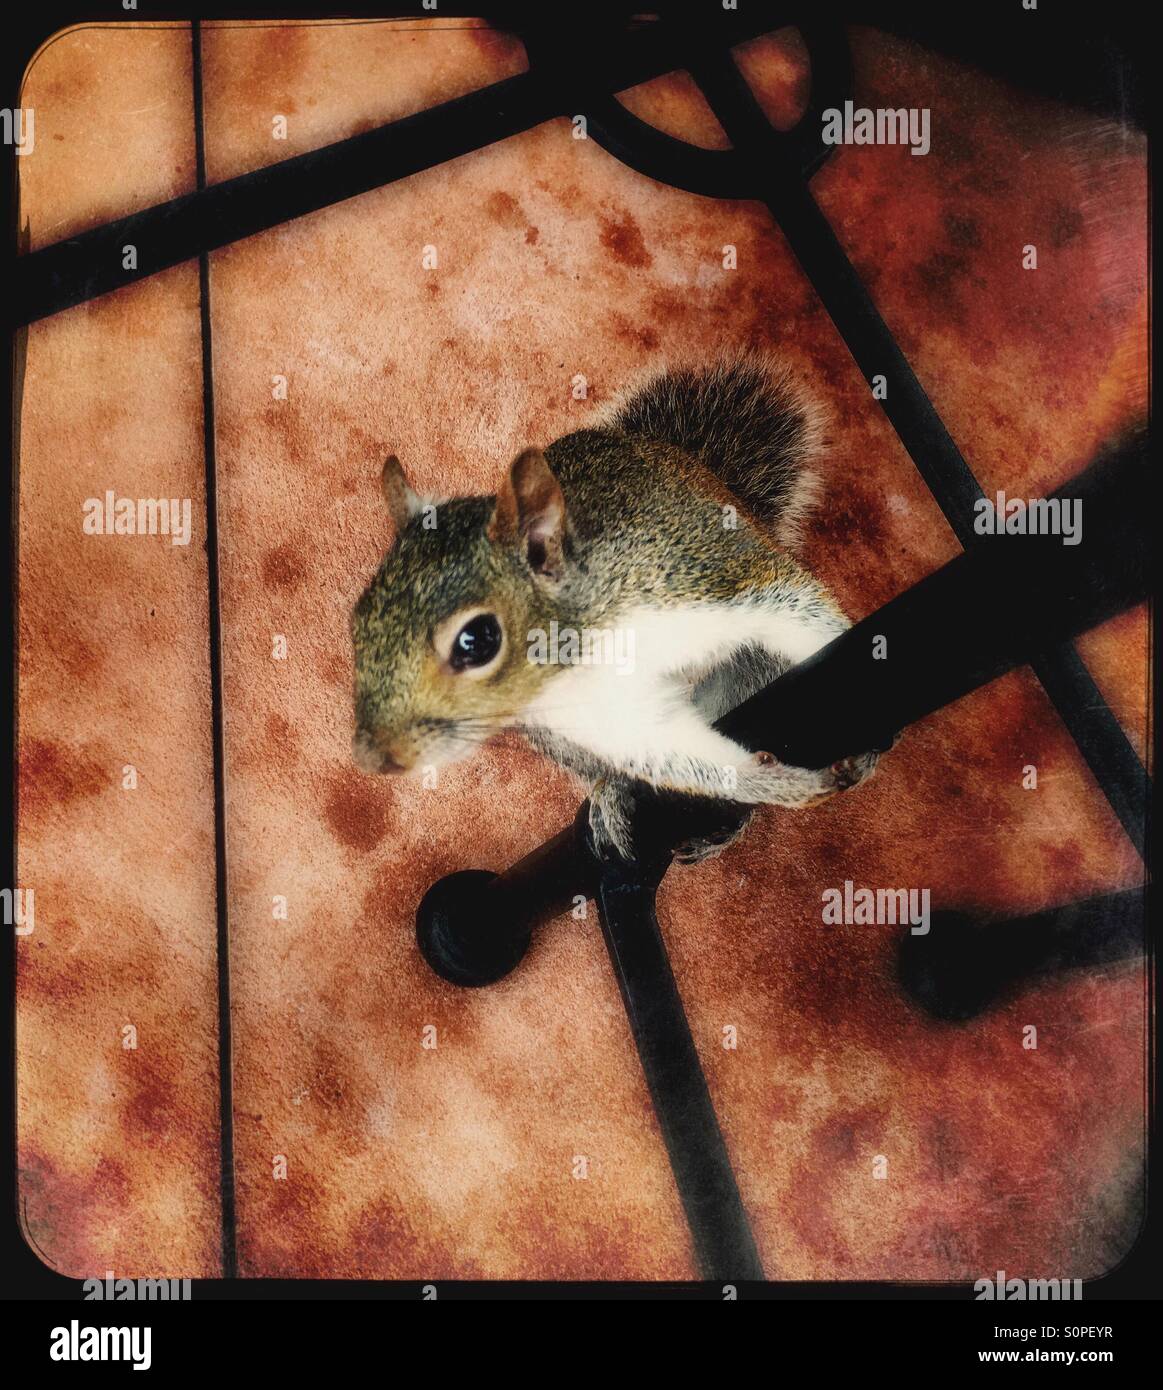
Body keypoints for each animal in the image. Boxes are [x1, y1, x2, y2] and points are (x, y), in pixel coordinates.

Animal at [351, 357, 881, 861]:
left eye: (478, 640)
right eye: (356, 622)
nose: (370, 758)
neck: (592, 649)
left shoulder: (706, 579)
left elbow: (793, 613)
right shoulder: (609, 715)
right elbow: (678, 749)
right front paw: (780, 784)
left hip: (748, 672)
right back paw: (613, 792)